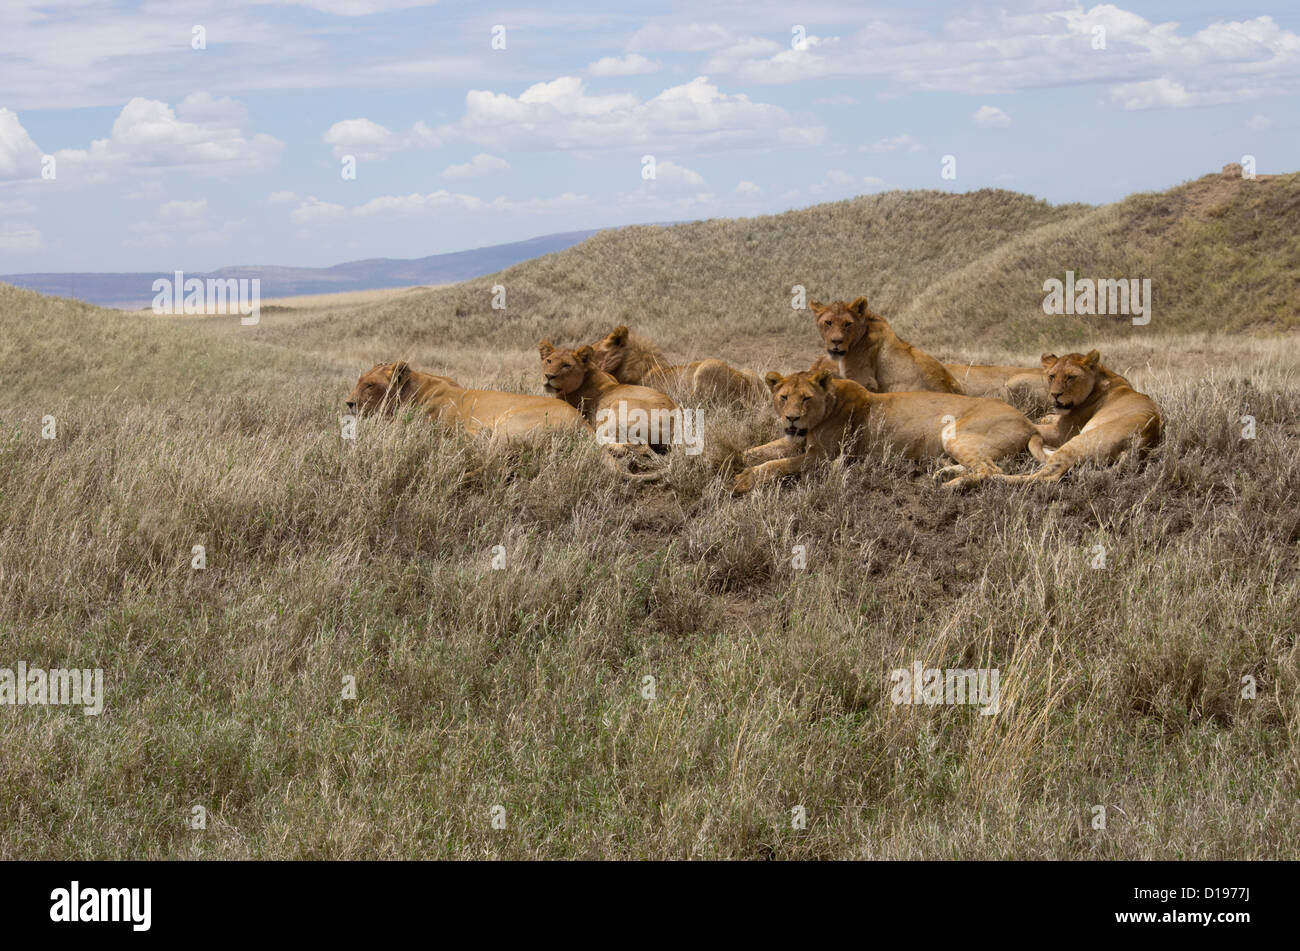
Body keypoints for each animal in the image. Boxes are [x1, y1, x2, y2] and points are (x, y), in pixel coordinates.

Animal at [732, 368, 1047, 493]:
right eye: (784, 397)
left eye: (806, 398)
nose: (792, 418)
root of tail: (1029, 423)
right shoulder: (797, 442)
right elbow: (753, 452)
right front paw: (733, 460)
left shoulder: (822, 456)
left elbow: (776, 464)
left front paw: (744, 480)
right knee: (981, 464)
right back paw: (945, 472)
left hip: (954, 432)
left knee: (990, 469)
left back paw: (952, 485)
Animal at [987, 351, 1162, 483]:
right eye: (1052, 376)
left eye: (1070, 377)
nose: (1055, 395)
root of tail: (1138, 447)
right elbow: (1046, 418)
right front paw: (1044, 417)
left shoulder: (1061, 433)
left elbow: (1030, 424)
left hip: (1077, 442)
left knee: (1050, 475)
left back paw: (998, 477)